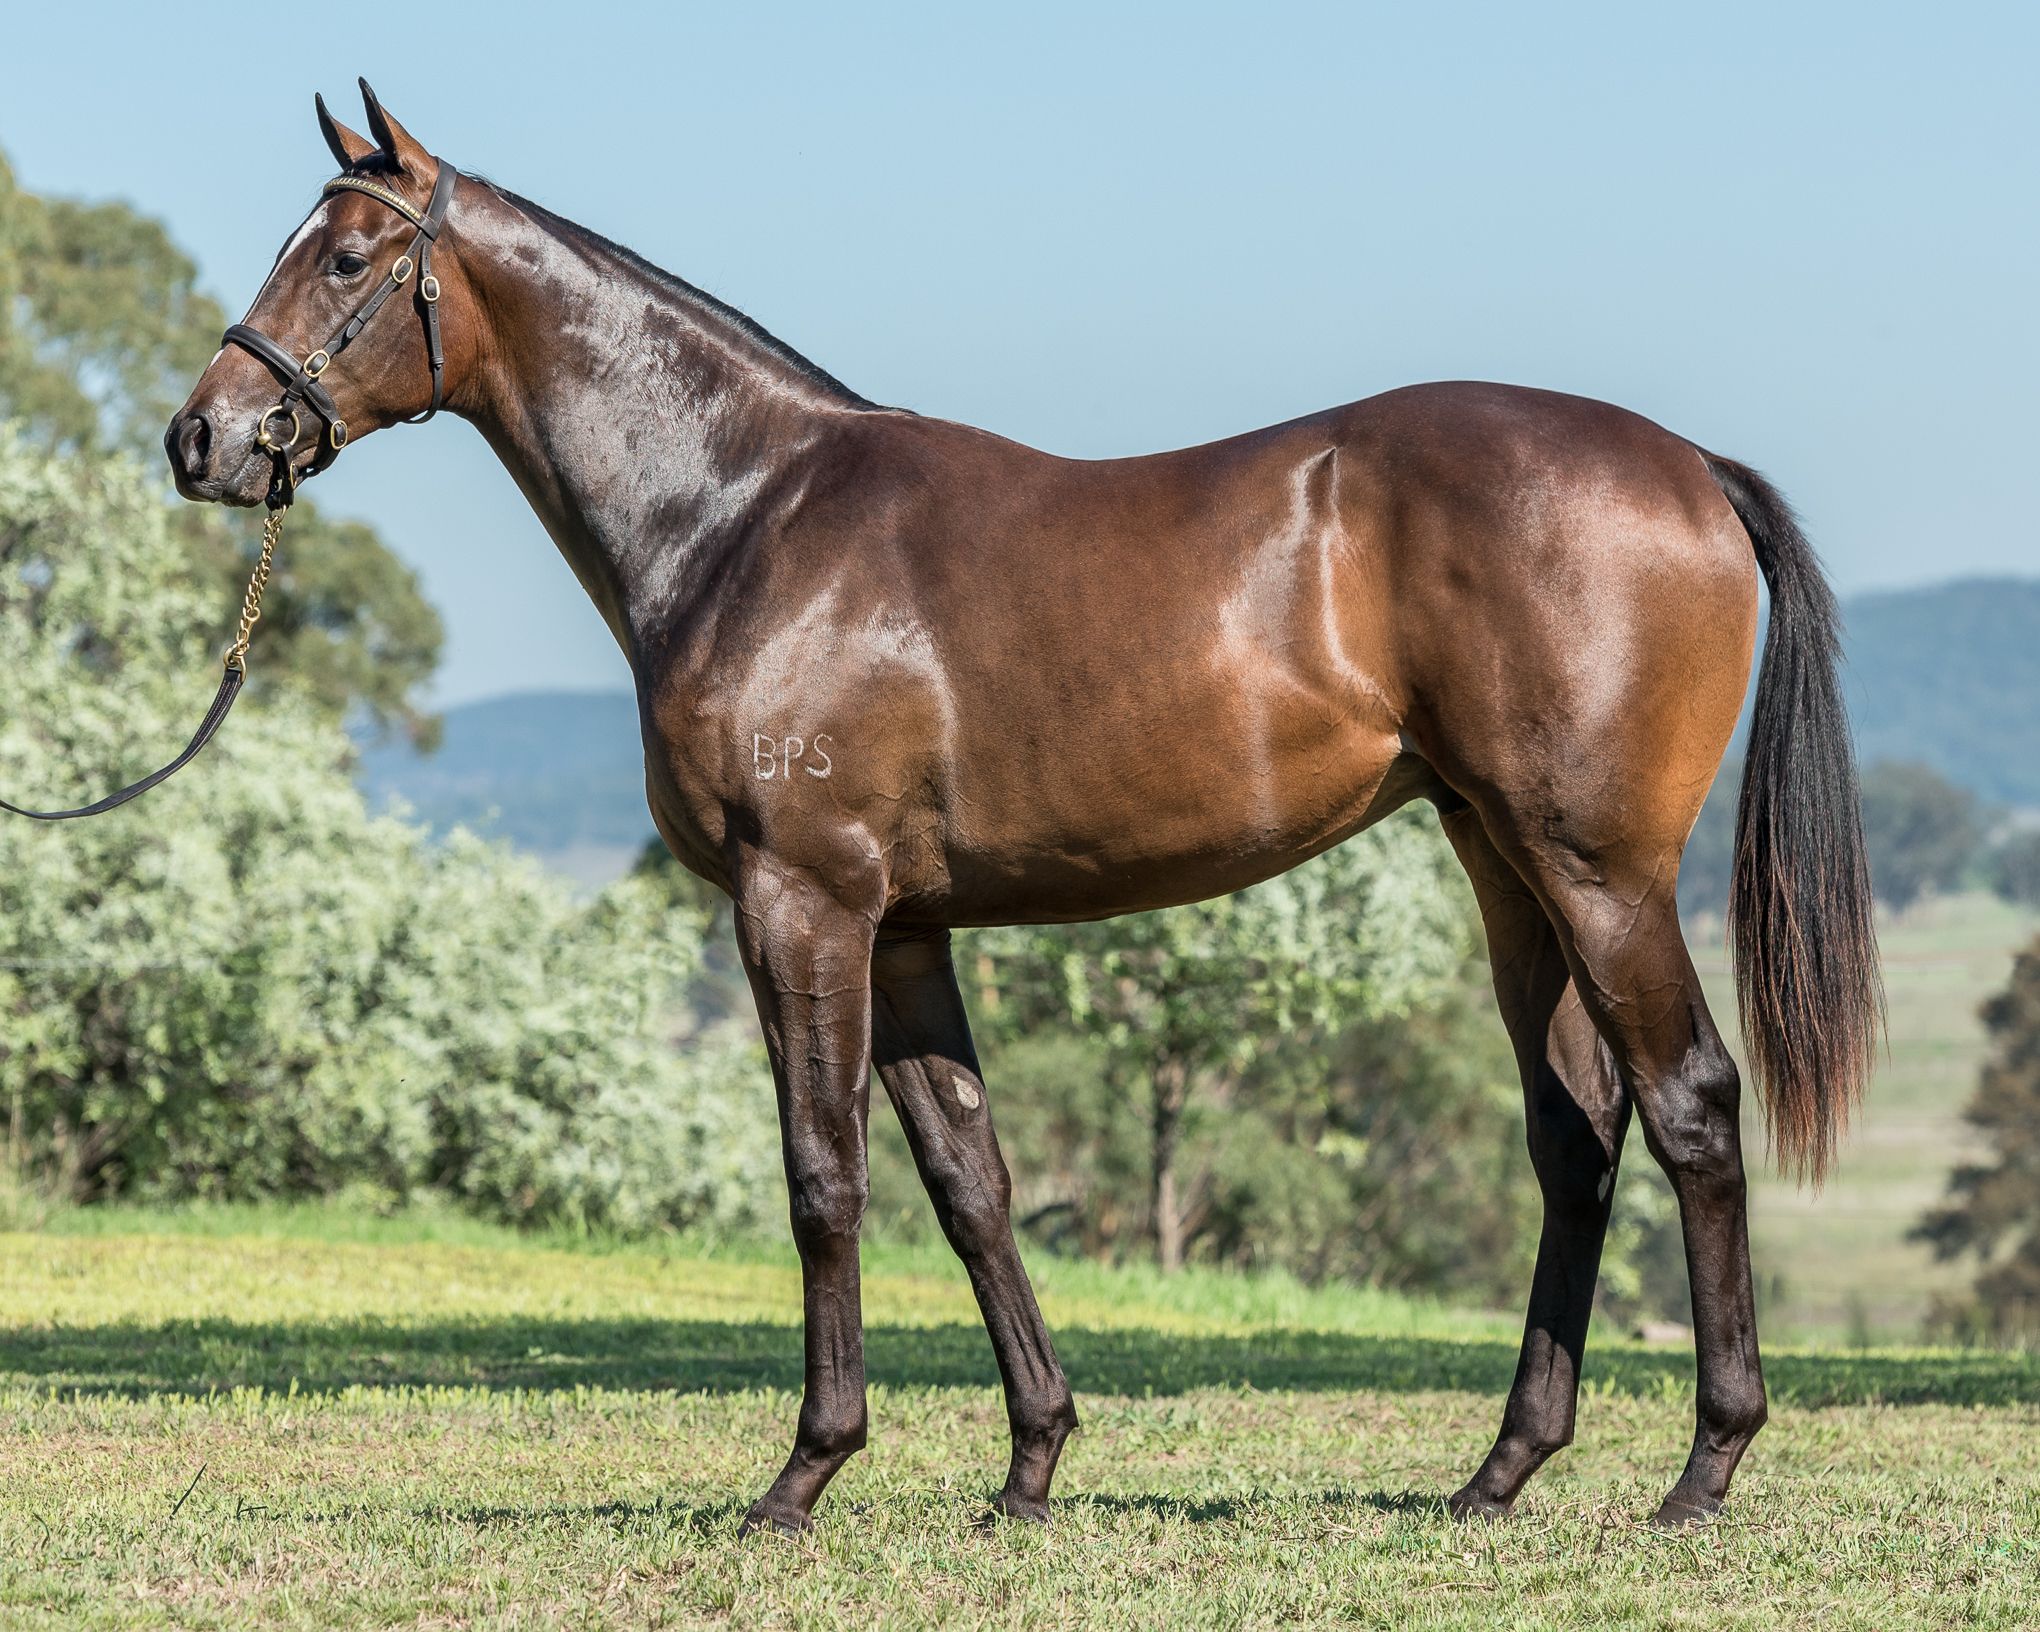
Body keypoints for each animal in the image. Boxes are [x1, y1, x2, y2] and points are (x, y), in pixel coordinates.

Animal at [166, 82, 1880, 1535]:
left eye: (347, 255)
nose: (205, 437)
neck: (746, 517)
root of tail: (1688, 469)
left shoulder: (803, 906)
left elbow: (825, 1178)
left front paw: (802, 1477)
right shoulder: (906, 928)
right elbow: (971, 1187)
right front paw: (1033, 1466)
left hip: (1601, 874)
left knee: (1691, 1106)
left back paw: (1706, 1467)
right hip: (1504, 865)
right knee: (1576, 1133)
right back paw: (1501, 1472)